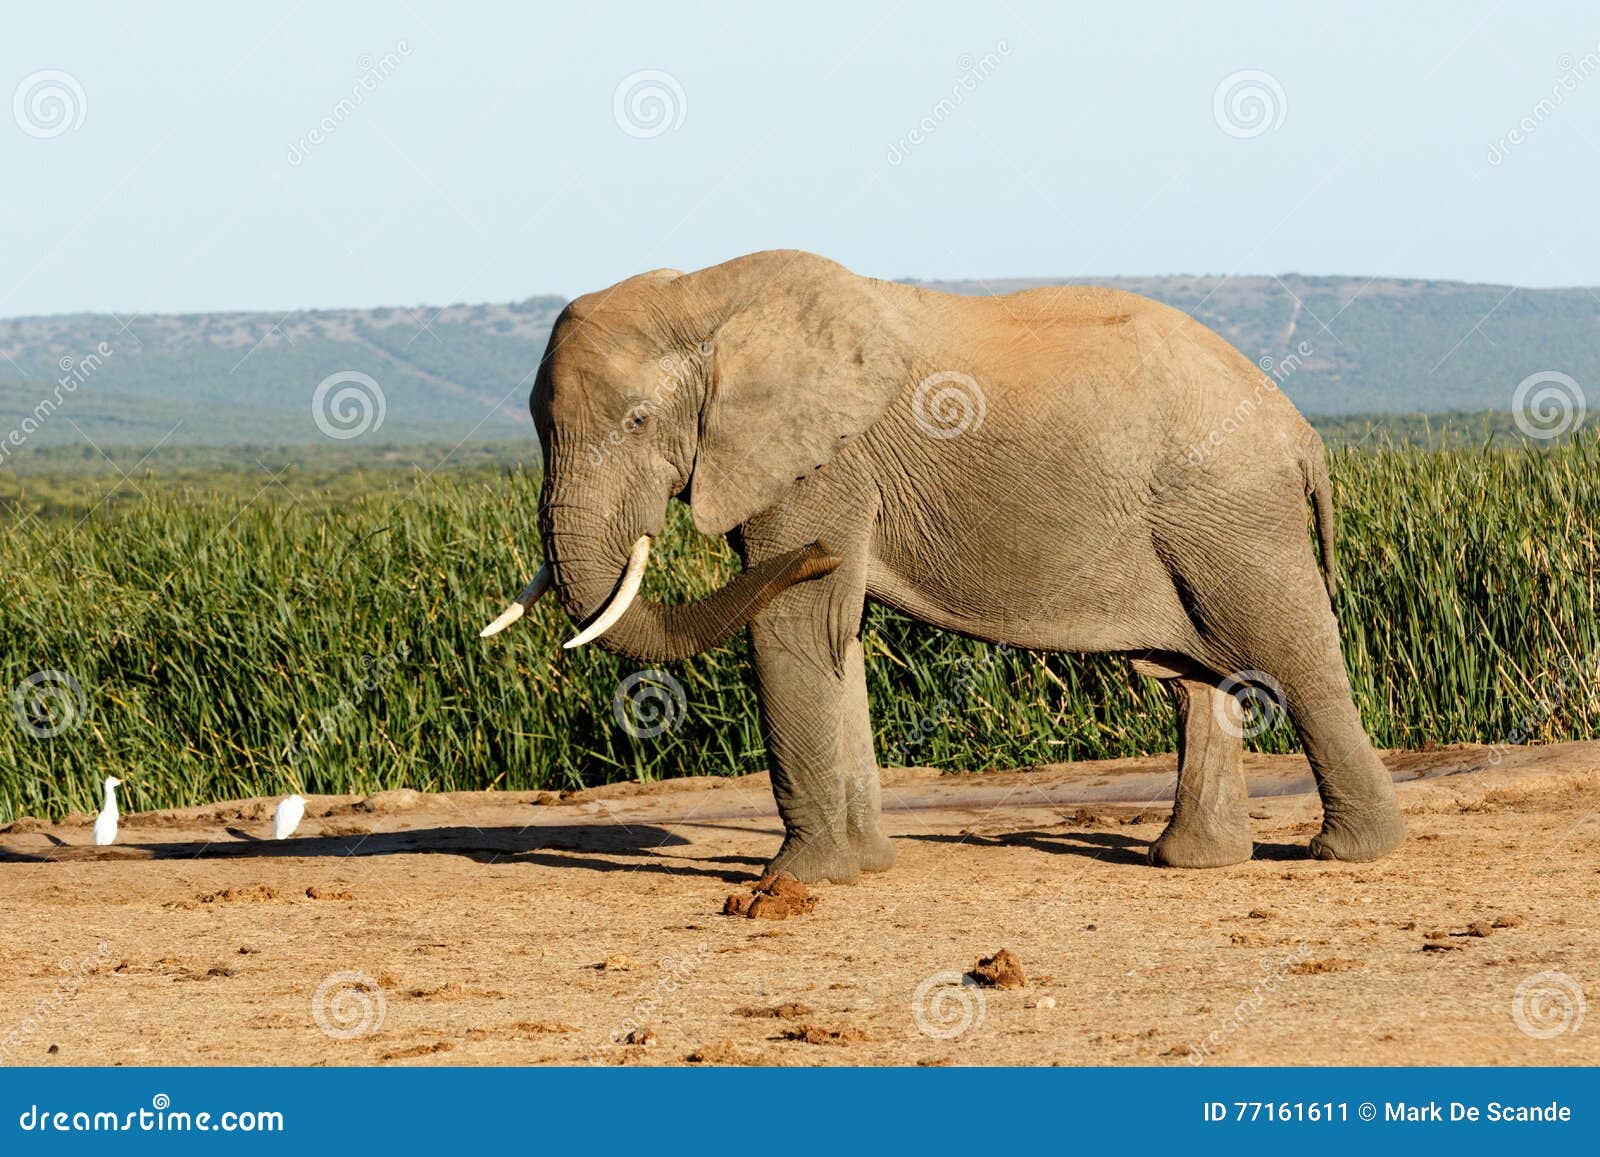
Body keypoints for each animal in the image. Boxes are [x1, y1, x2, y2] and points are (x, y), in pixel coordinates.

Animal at [481, 249, 1405, 883]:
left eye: (639, 420)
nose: (816, 553)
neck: (706, 295)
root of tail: (1304, 431)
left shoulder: (825, 465)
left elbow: (796, 626)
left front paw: (792, 881)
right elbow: (837, 636)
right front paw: (866, 869)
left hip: (1229, 512)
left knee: (1288, 653)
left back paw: (1347, 852)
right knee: (1193, 676)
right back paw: (1187, 861)